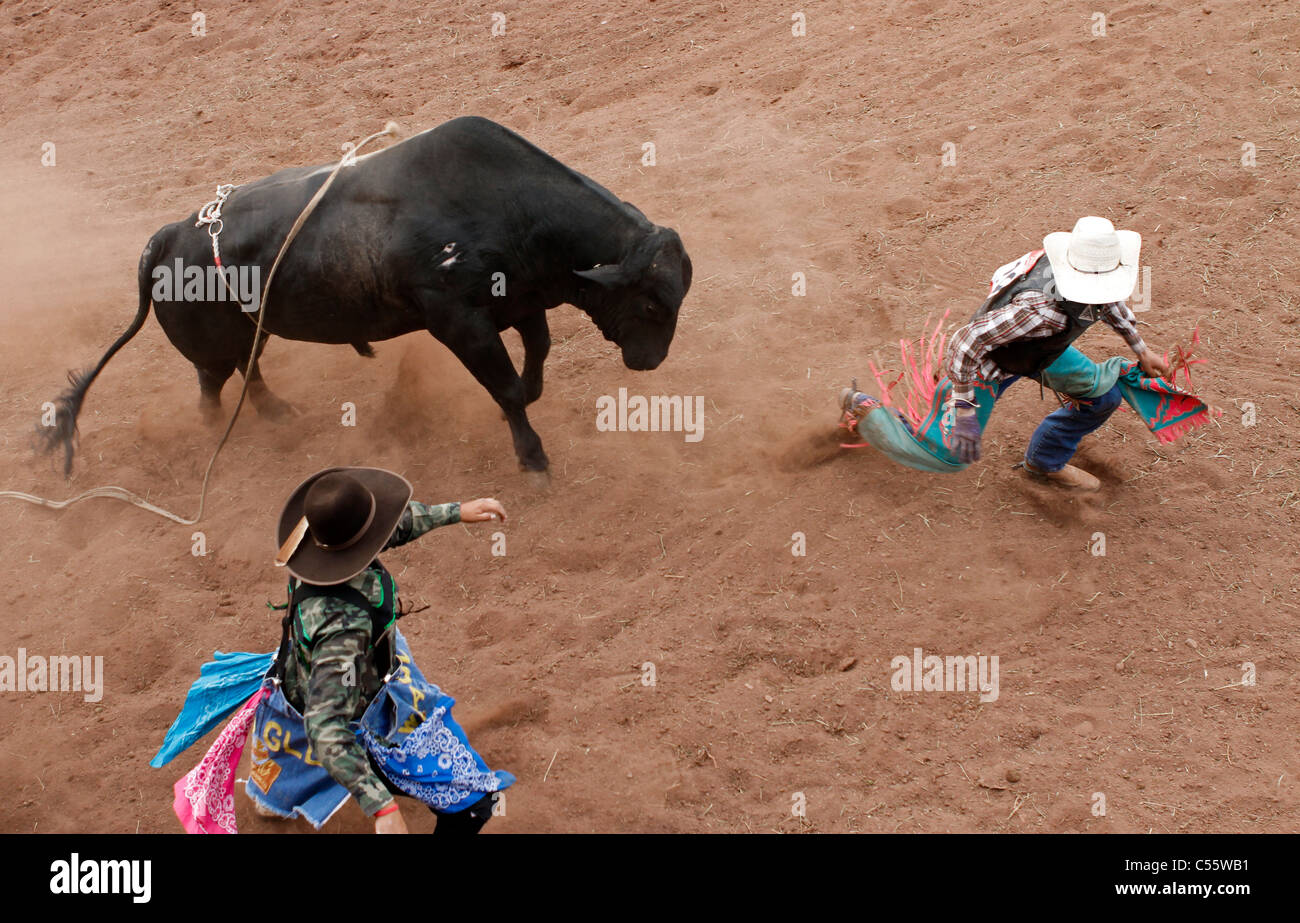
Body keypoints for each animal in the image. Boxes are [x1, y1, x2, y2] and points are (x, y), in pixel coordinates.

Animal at [40, 115, 692, 474]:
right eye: (652, 303)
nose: (652, 360)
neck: (505, 205)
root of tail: (171, 234)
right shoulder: (460, 323)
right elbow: (507, 387)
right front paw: (532, 459)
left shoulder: (522, 301)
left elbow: (536, 358)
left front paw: (531, 400)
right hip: (213, 348)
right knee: (212, 387)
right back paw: (230, 428)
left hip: (251, 330)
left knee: (248, 371)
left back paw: (275, 413)